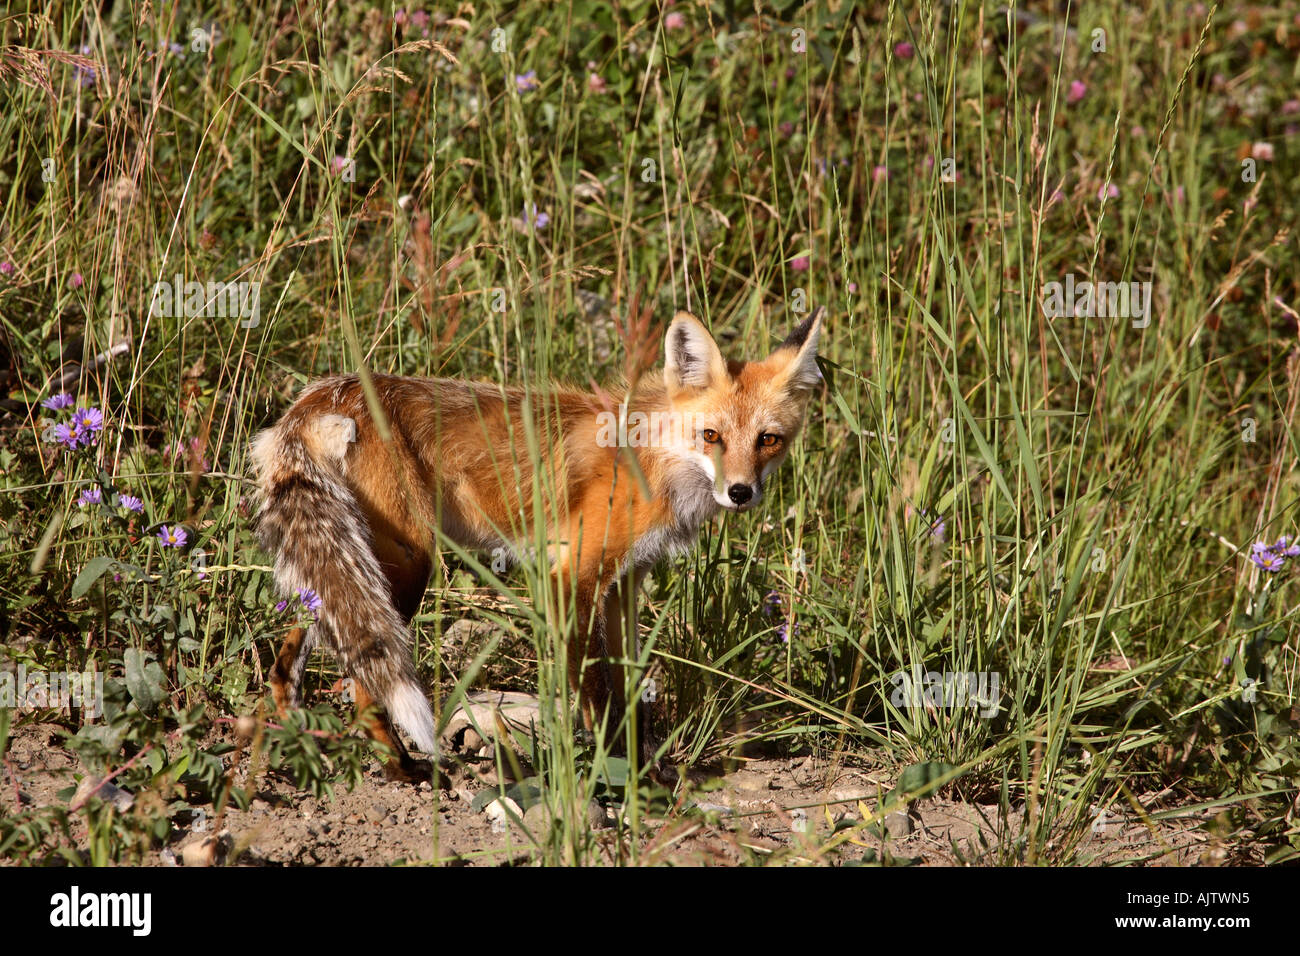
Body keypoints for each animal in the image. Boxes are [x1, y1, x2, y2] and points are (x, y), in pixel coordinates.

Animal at [248, 309, 822, 782]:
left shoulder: (625, 585)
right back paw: (403, 770)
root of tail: (318, 396)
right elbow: (597, 694)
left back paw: (295, 738)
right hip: (407, 566)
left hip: (341, 572)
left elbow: (628, 689)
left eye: (768, 440)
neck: (652, 459)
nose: (740, 492)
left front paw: (644, 767)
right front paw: (621, 771)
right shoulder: (573, 578)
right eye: (711, 436)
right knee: (365, 684)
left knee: (286, 664)